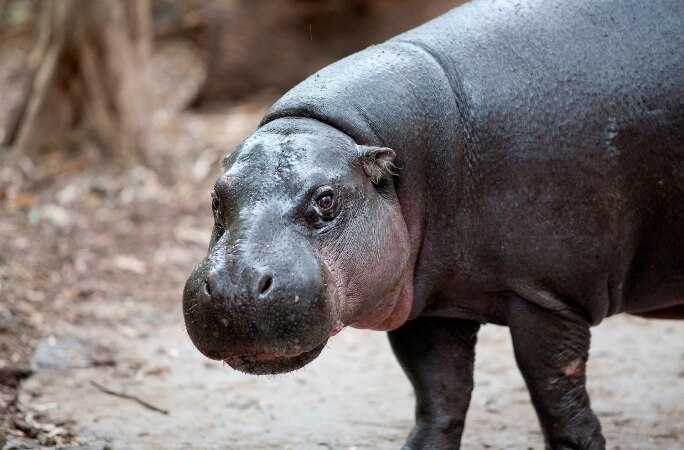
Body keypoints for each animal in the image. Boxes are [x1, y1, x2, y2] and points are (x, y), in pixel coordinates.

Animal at [183, 0, 684, 448]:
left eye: (326, 199)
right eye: (216, 197)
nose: (233, 287)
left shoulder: (547, 297)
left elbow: (562, 409)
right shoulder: (429, 308)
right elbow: (441, 401)